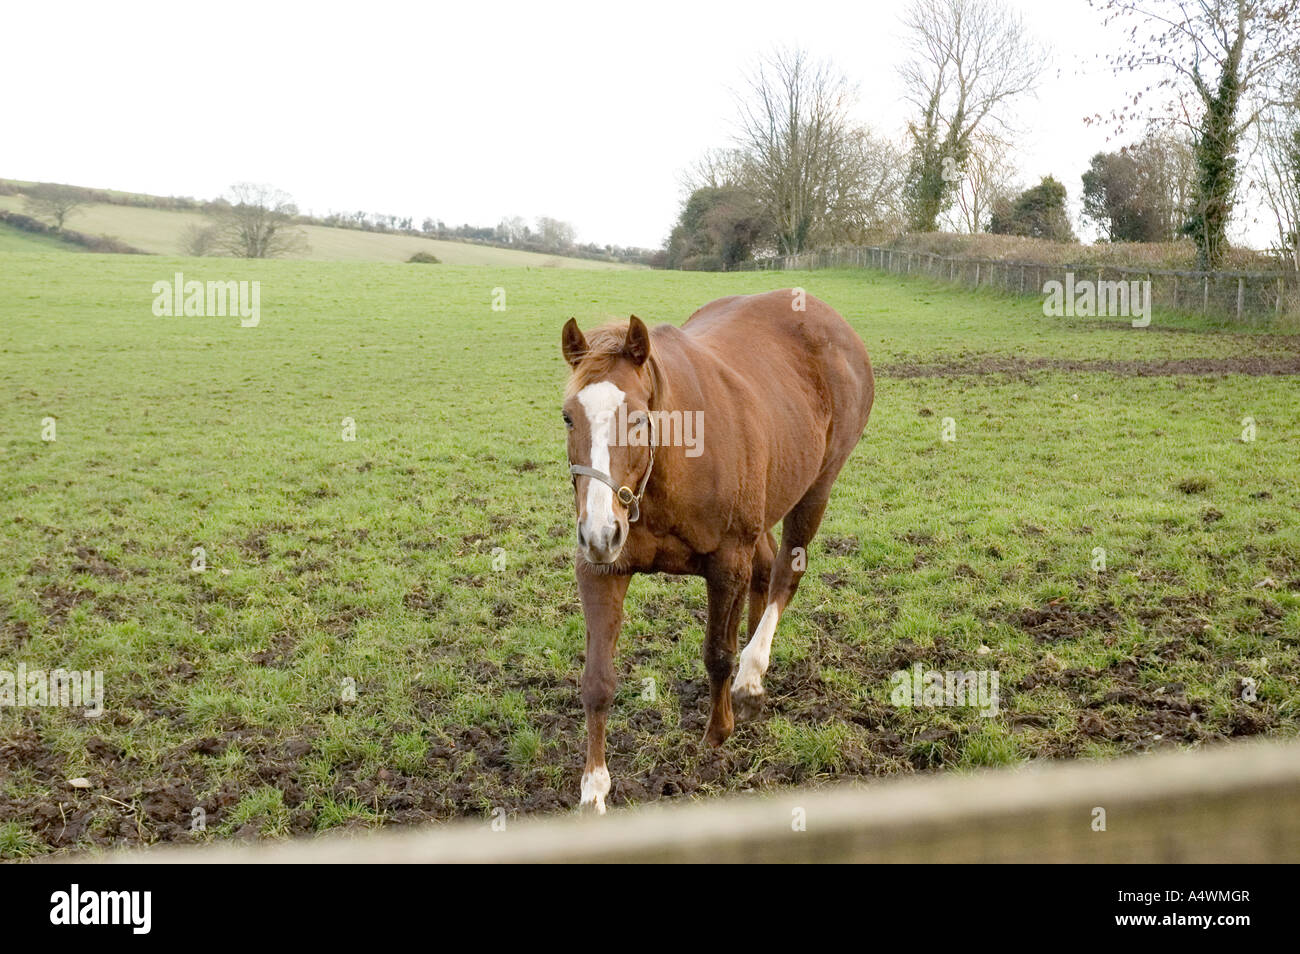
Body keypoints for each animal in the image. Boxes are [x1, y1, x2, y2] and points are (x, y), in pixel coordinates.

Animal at [559, 289, 874, 813]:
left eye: (639, 419)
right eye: (568, 416)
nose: (600, 531)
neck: (669, 469)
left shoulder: (727, 563)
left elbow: (718, 654)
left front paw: (717, 731)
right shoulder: (602, 570)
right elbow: (597, 681)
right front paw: (594, 790)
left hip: (815, 490)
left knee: (785, 574)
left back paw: (751, 677)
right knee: (765, 571)